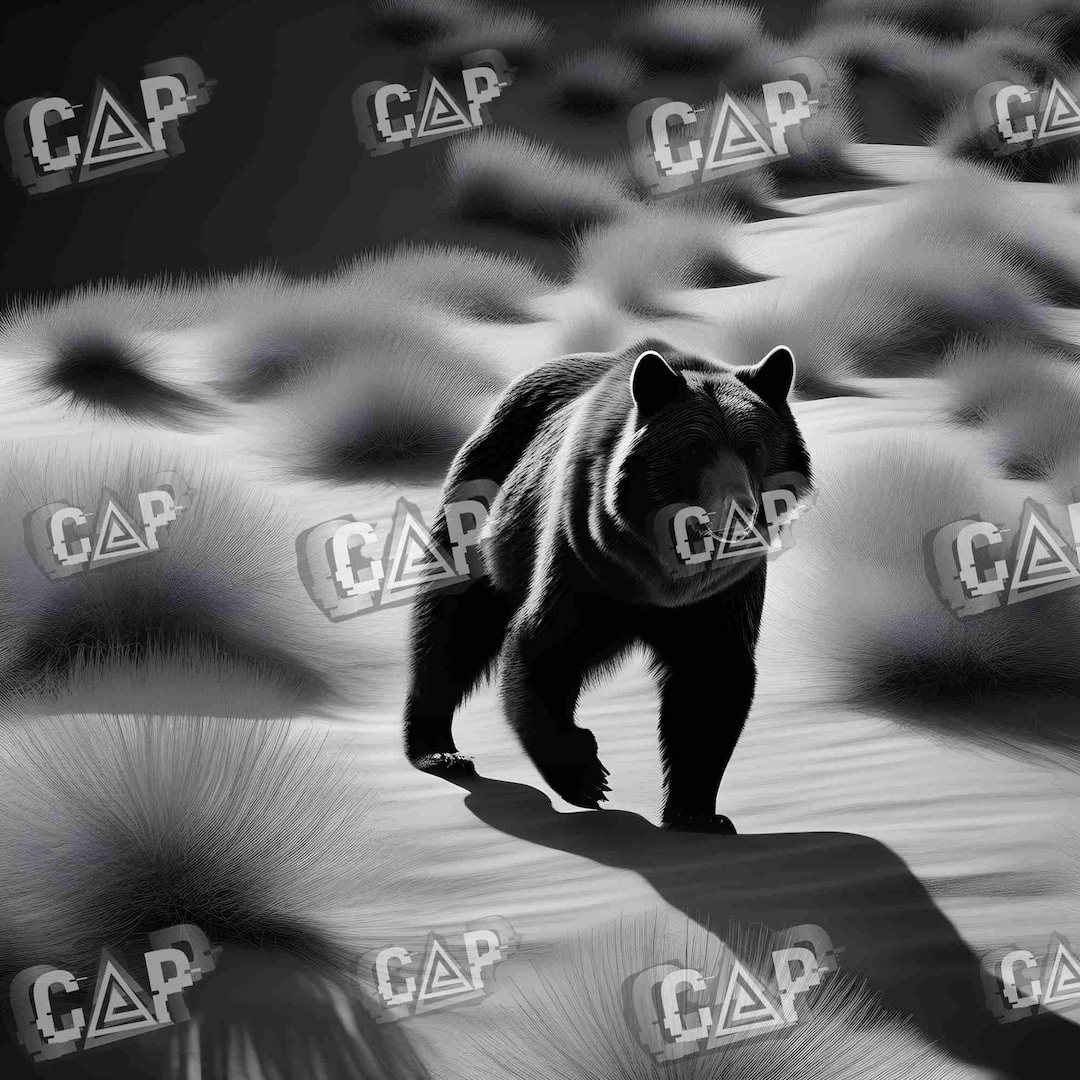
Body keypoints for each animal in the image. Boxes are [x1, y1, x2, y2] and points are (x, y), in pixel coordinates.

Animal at [402, 340, 812, 832]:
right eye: (695, 448)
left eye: (753, 446)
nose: (740, 512)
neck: (664, 569)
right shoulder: (583, 558)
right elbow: (544, 645)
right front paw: (584, 776)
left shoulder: (725, 592)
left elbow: (710, 679)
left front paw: (697, 813)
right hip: (484, 489)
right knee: (451, 621)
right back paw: (437, 748)